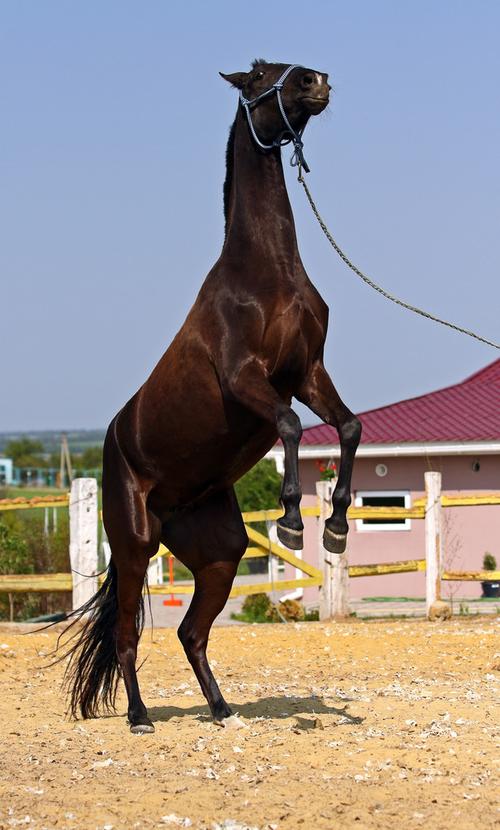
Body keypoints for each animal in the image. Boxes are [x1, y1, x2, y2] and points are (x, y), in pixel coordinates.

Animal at [63, 60, 361, 733]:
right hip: (134, 546)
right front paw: (293, 521)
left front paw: (335, 528)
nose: (316, 80)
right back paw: (140, 717)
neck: (266, 274)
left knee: (191, 634)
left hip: (219, 556)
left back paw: (222, 710)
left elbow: (350, 427)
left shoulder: (309, 373)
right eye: (260, 77)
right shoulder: (247, 378)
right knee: (128, 637)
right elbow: (290, 426)